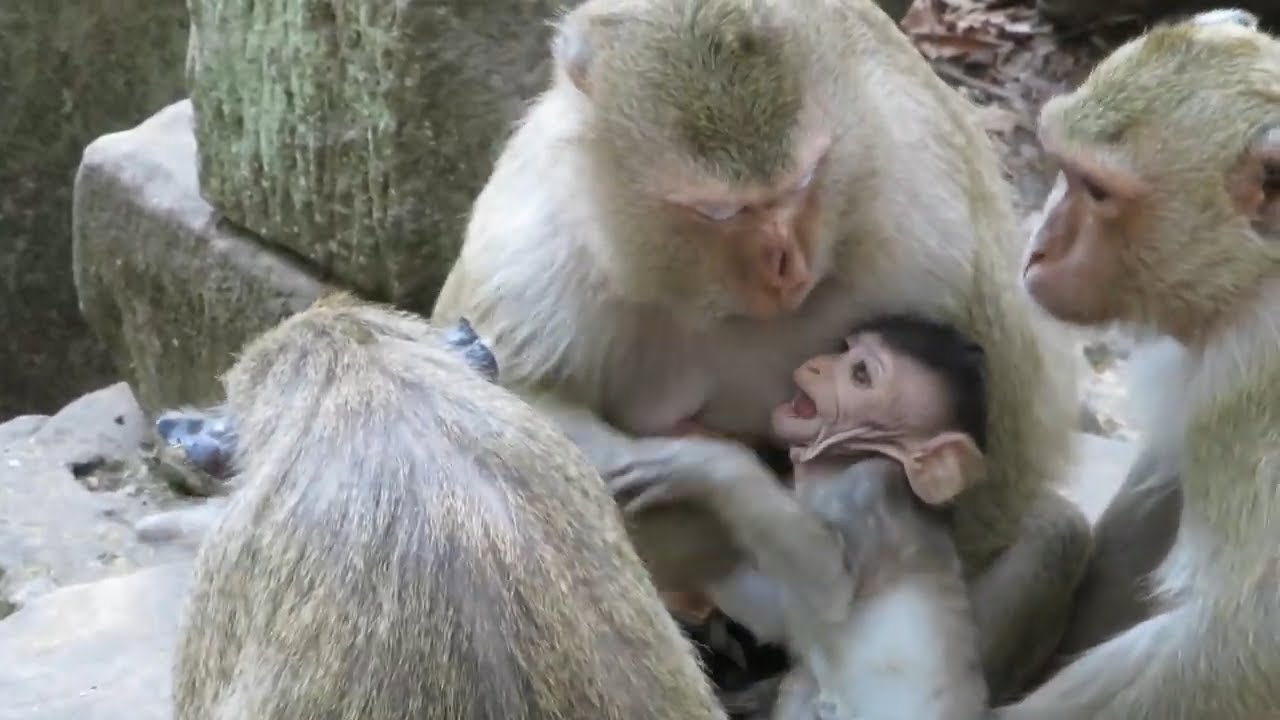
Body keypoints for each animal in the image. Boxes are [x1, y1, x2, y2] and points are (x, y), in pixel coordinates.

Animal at [609, 316, 992, 720]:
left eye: (860, 374)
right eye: (843, 350)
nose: (816, 365)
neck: (834, 468)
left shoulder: (871, 489)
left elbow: (829, 585)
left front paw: (701, 463)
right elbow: (779, 612)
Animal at [995, 9, 1280, 719]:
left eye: (1096, 191)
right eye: (1066, 173)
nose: (1038, 248)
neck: (1259, 277)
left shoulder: (1254, 376)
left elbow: (1253, 636)